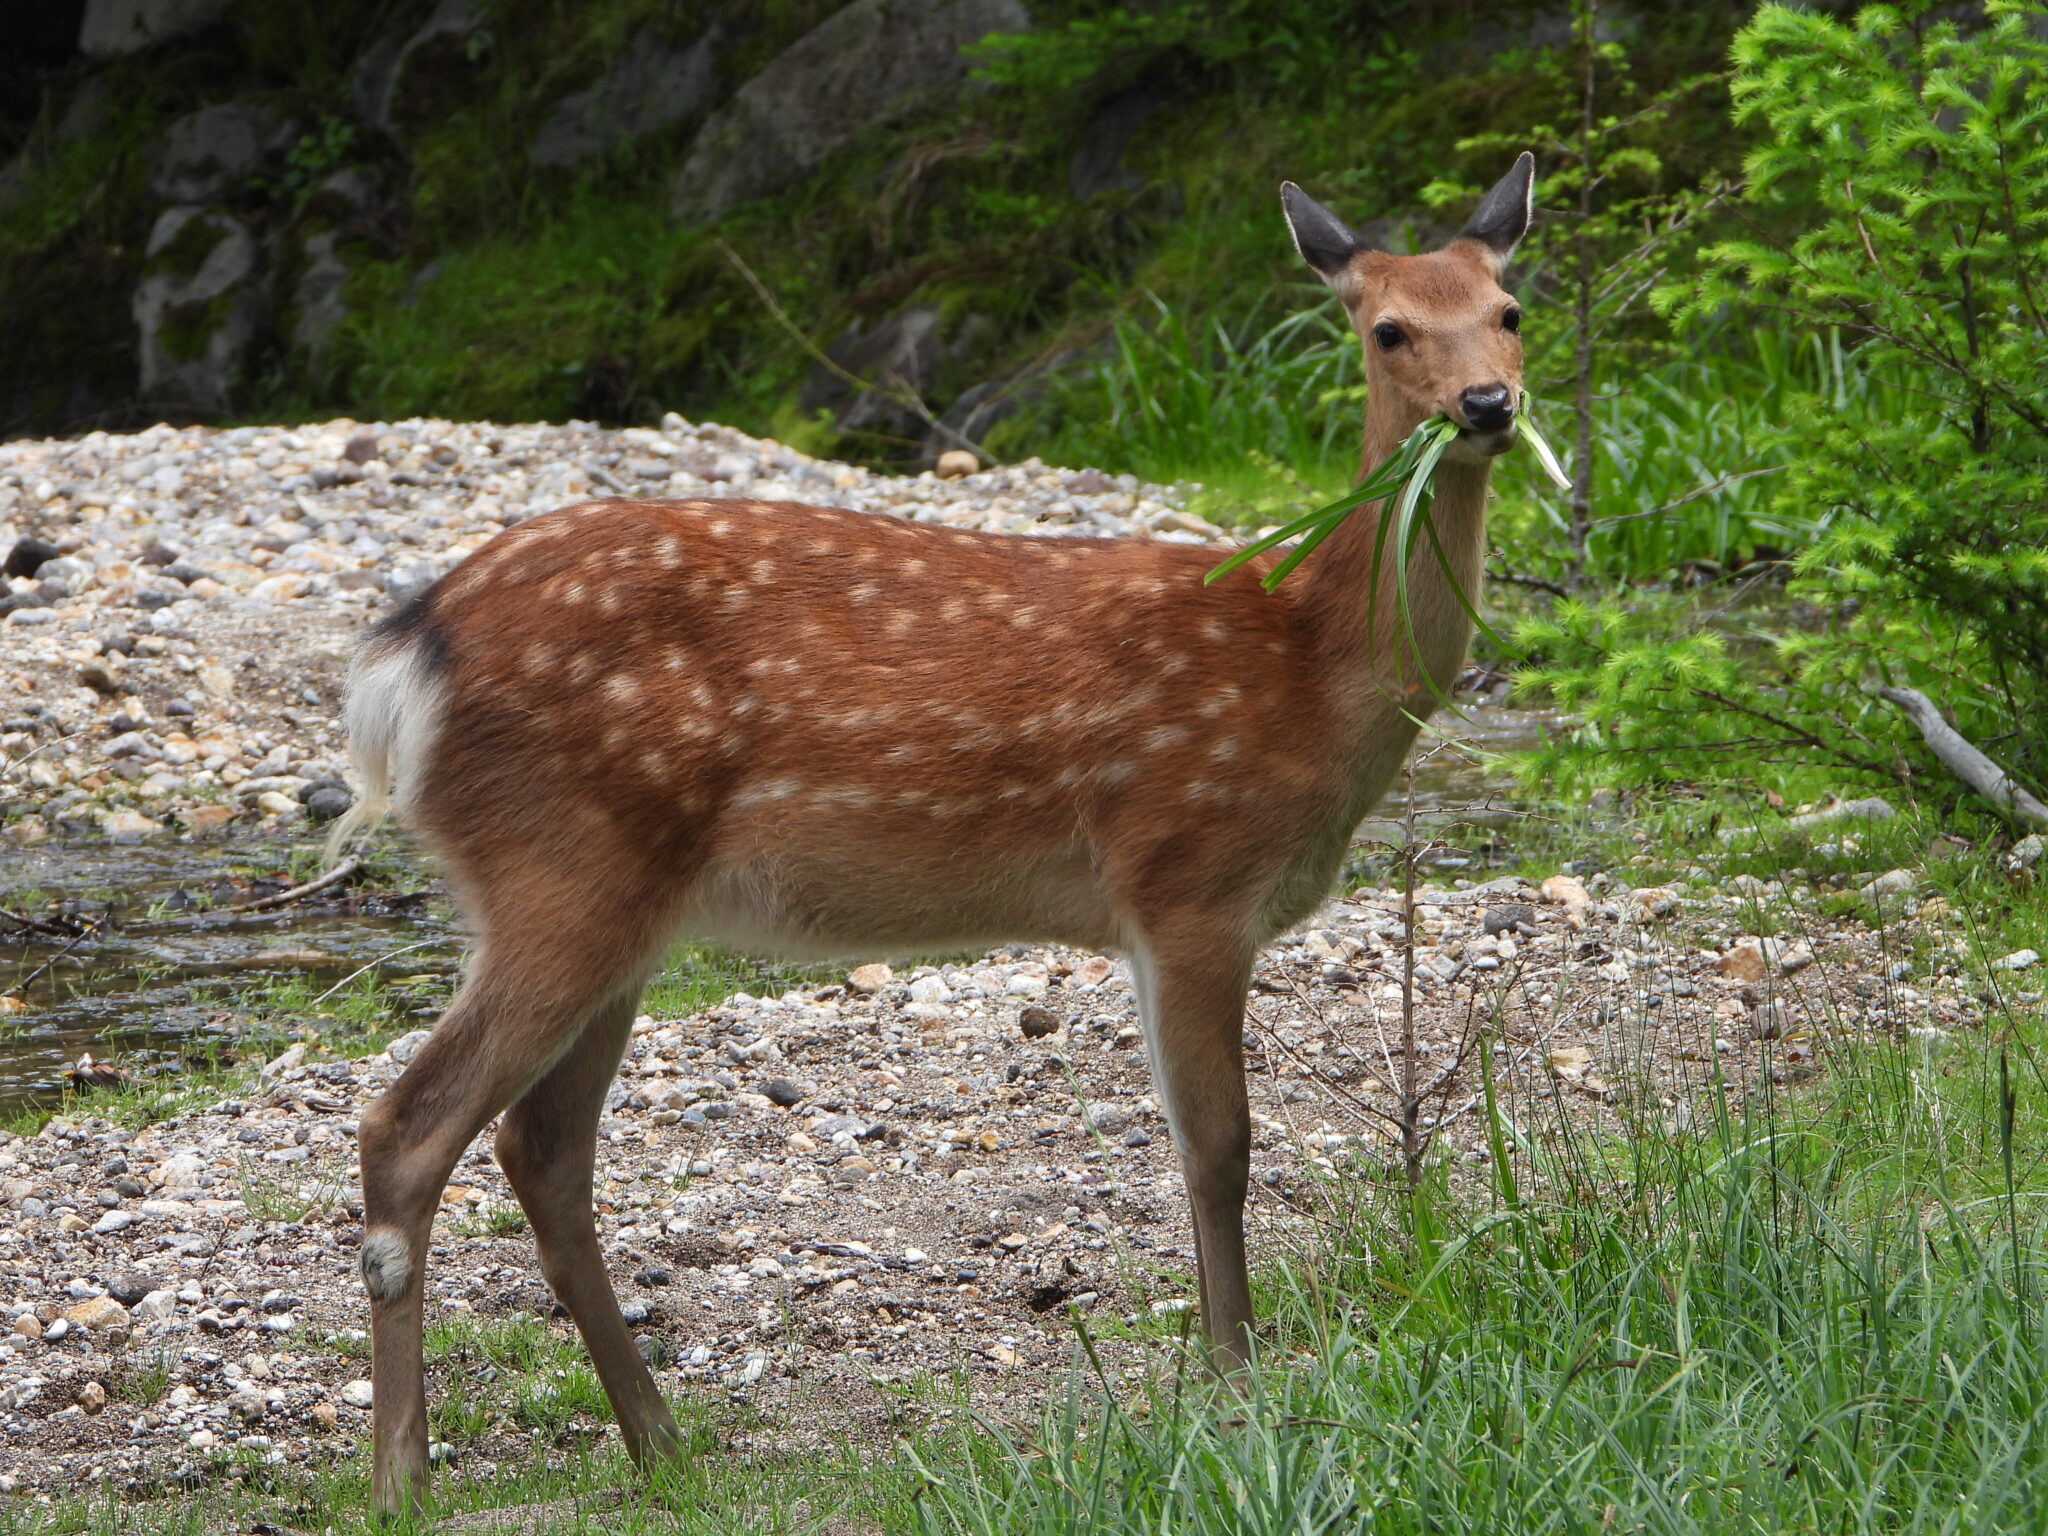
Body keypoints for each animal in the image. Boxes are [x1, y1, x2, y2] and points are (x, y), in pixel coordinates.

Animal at [333, 153, 1534, 1513]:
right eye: (1386, 328)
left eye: (1509, 308)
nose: (1487, 404)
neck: (1310, 667)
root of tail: (405, 658)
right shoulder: (1184, 874)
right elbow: (1216, 1150)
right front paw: (1236, 1386)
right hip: (562, 868)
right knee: (408, 1129)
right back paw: (403, 1481)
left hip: (611, 904)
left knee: (541, 1149)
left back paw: (663, 1442)